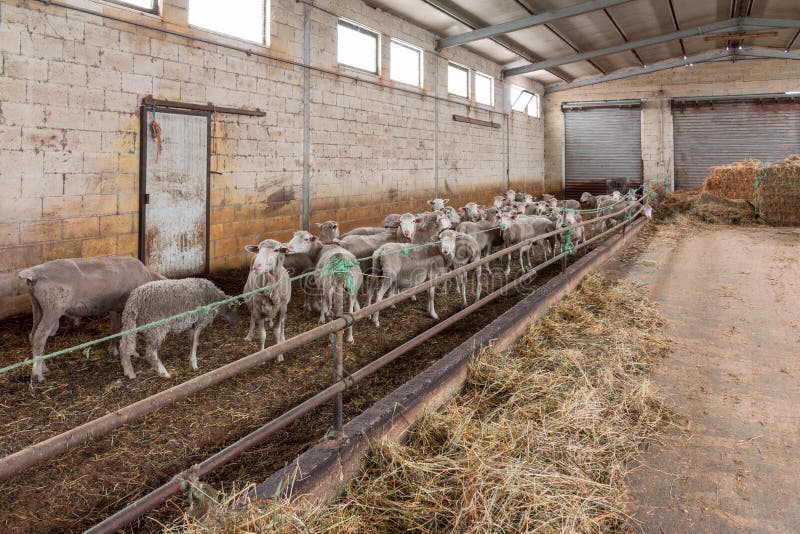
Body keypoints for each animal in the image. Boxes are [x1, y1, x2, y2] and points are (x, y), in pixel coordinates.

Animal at [17, 257, 165, 382]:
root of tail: (33, 273)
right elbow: (128, 332)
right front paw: (133, 352)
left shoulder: (114, 307)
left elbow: (115, 329)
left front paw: (113, 350)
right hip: (53, 309)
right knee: (40, 337)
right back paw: (38, 374)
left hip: (38, 308)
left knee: (32, 335)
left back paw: (43, 366)